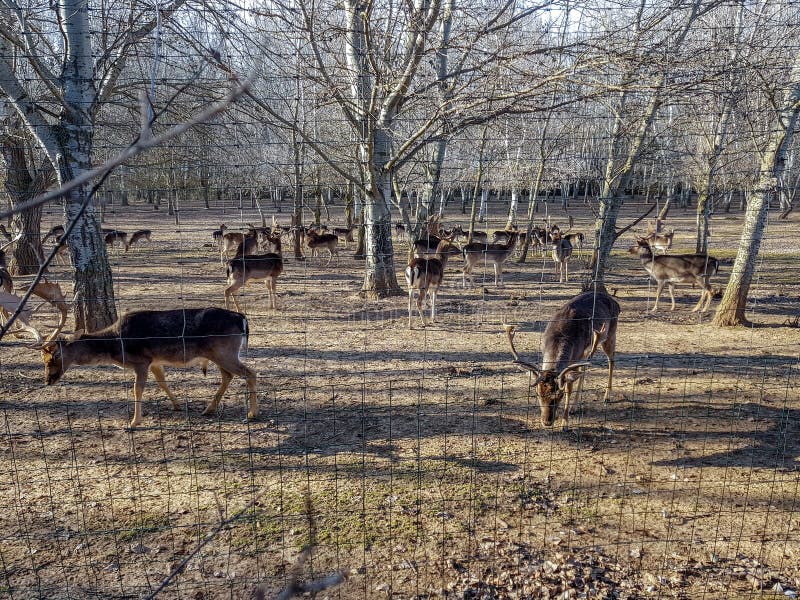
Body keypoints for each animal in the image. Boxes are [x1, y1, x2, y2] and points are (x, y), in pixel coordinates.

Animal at [39, 307, 258, 428]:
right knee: (228, 376)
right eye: (42, 357)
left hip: (225, 352)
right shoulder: (155, 361)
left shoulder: (141, 361)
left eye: (56, 355)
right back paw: (208, 409)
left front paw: (133, 422)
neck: (115, 344)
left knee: (250, 373)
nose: (48, 380)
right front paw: (177, 405)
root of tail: (242, 318)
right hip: (219, 355)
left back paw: (251, 414)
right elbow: (162, 382)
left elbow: (137, 390)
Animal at [505, 291, 619, 429]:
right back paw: (574, 407)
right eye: (538, 393)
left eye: (560, 394)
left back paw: (607, 397)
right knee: (584, 370)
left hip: (610, 334)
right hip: (587, 350)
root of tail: (615, 302)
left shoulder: (575, 357)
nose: (547, 422)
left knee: (611, 360)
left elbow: (569, 388)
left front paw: (565, 424)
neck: (559, 336)